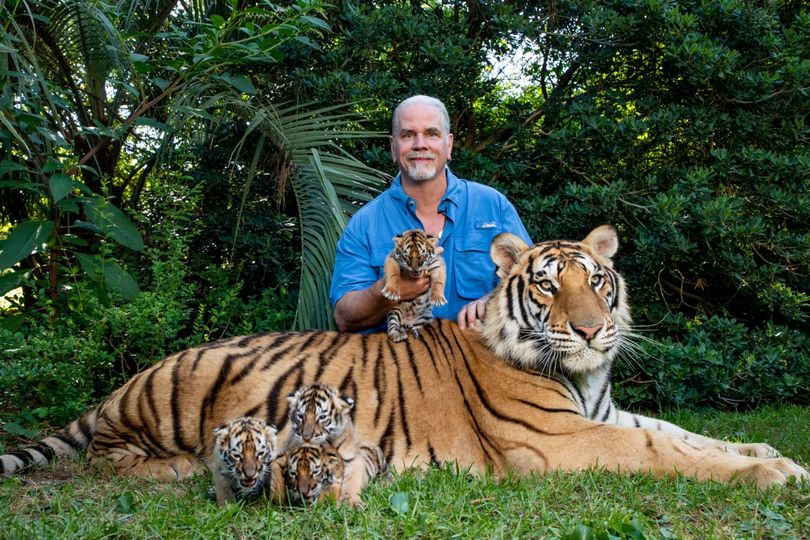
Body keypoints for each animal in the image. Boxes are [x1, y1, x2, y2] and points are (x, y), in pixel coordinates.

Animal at [1, 225, 807, 491]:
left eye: (597, 280)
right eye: (550, 285)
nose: (589, 331)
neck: (585, 379)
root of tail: (121, 387)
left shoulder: (605, 412)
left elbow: (683, 433)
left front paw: (772, 453)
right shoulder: (558, 440)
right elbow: (664, 452)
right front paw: (771, 474)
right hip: (179, 393)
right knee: (107, 456)